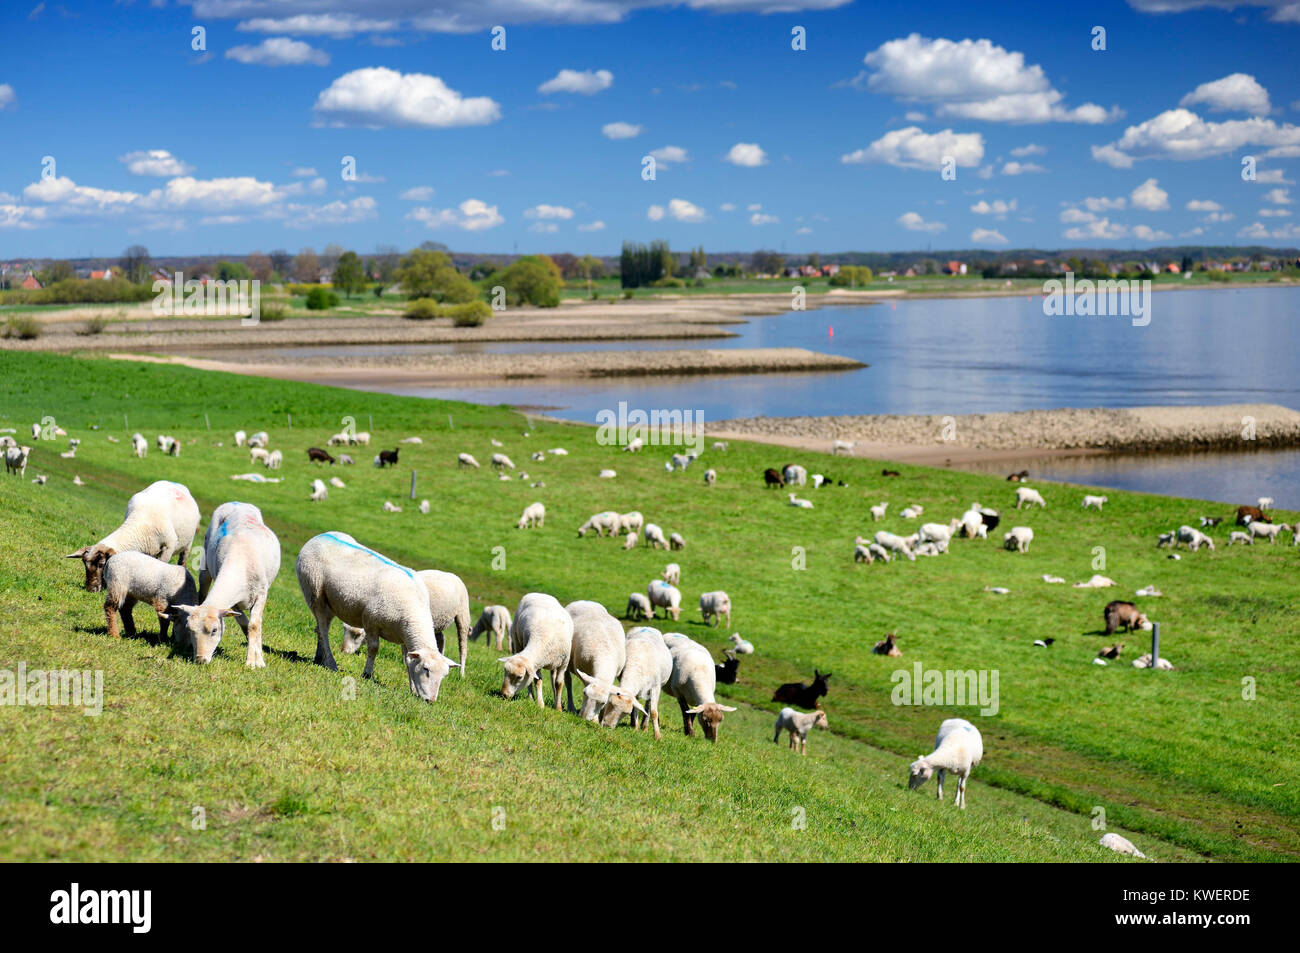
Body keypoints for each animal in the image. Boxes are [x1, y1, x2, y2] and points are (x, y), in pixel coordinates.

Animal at [64, 480, 201, 591]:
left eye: (102, 564)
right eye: (84, 563)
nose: (91, 589)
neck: (141, 524)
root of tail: (177, 484)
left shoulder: (168, 547)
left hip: (188, 544)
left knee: (182, 561)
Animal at [171, 502, 280, 667]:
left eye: (215, 630)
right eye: (190, 630)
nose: (200, 660)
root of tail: (238, 502)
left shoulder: (261, 594)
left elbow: (254, 625)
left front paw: (255, 661)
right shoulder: (233, 603)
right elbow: (245, 625)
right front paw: (254, 656)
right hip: (205, 566)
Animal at [296, 532, 457, 699]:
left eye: (444, 675)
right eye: (426, 669)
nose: (430, 700)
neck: (413, 612)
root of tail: (320, 536)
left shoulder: (405, 637)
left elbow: (408, 660)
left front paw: (412, 688)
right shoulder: (371, 621)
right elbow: (373, 649)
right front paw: (367, 674)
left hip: (329, 602)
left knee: (320, 629)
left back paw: (319, 658)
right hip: (315, 592)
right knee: (323, 630)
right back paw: (330, 662)